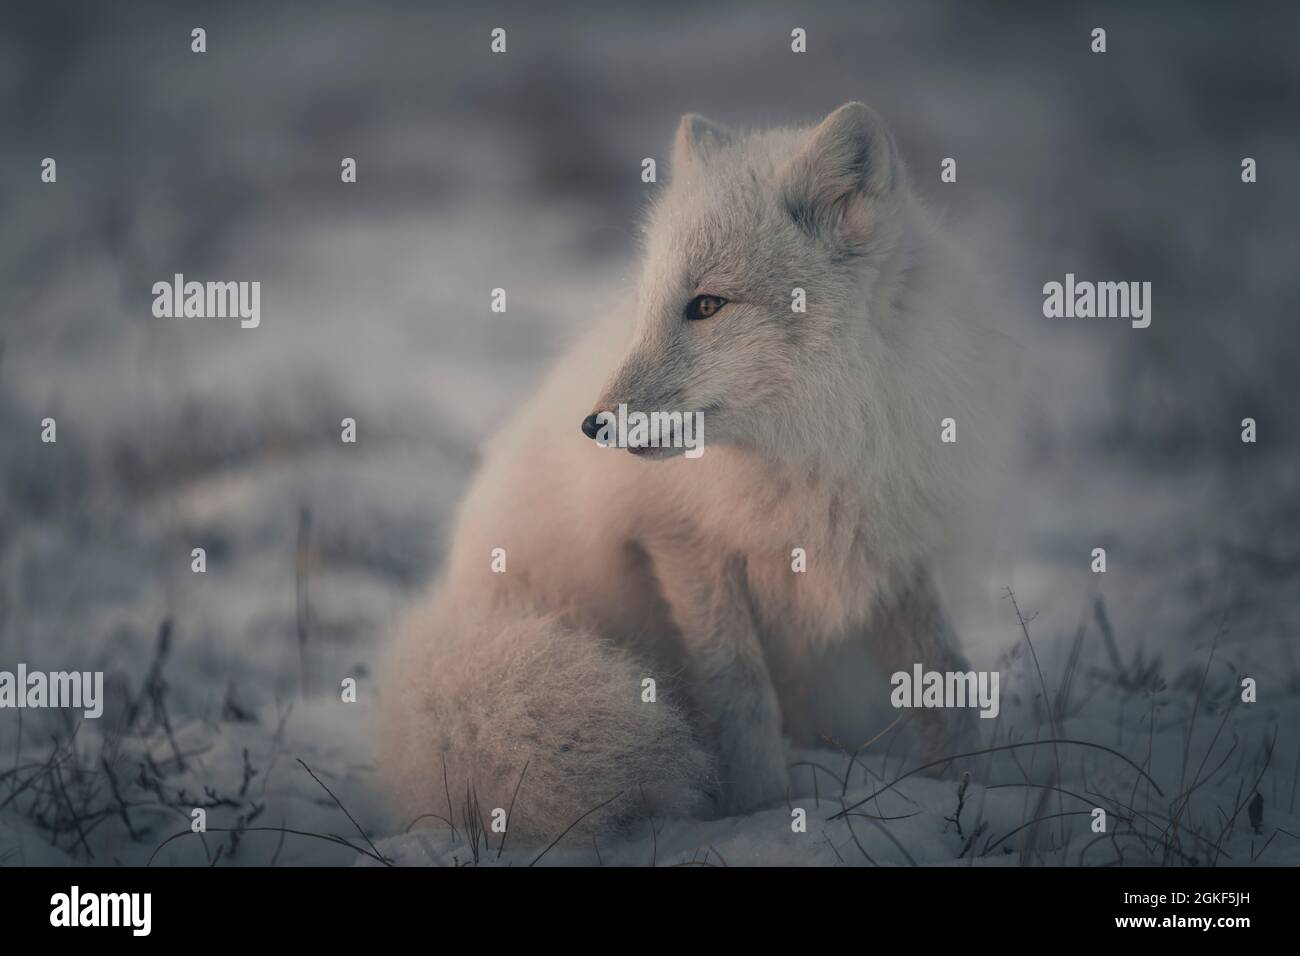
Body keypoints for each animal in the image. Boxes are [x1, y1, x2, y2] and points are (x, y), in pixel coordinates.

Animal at [378, 102, 1013, 843]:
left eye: (707, 306)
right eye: (650, 305)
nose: (594, 426)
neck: (816, 456)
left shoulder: (899, 551)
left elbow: (948, 682)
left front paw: (977, 791)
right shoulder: (680, 544)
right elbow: (741, 699)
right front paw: (764, 814)